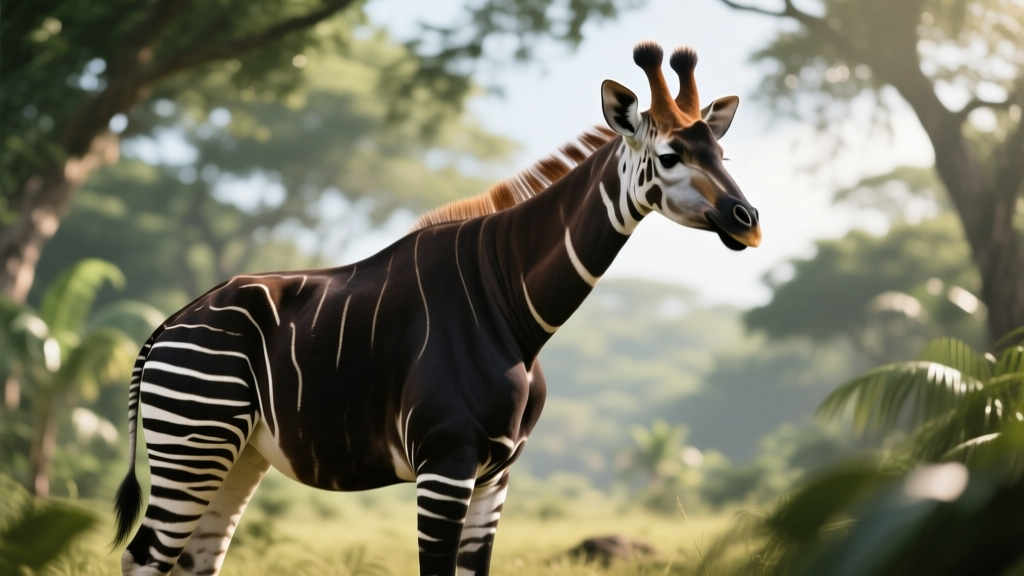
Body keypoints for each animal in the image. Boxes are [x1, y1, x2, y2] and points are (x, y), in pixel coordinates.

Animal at [112, 41, 760, 576]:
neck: (512, 310)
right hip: (193, 443)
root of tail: (169, 322)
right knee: (143, 557)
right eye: (671, 156)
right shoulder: (445, 462)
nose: (748, 222)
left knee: (194, 560)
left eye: (722, 154)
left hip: (236, 453)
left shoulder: (495, 474)